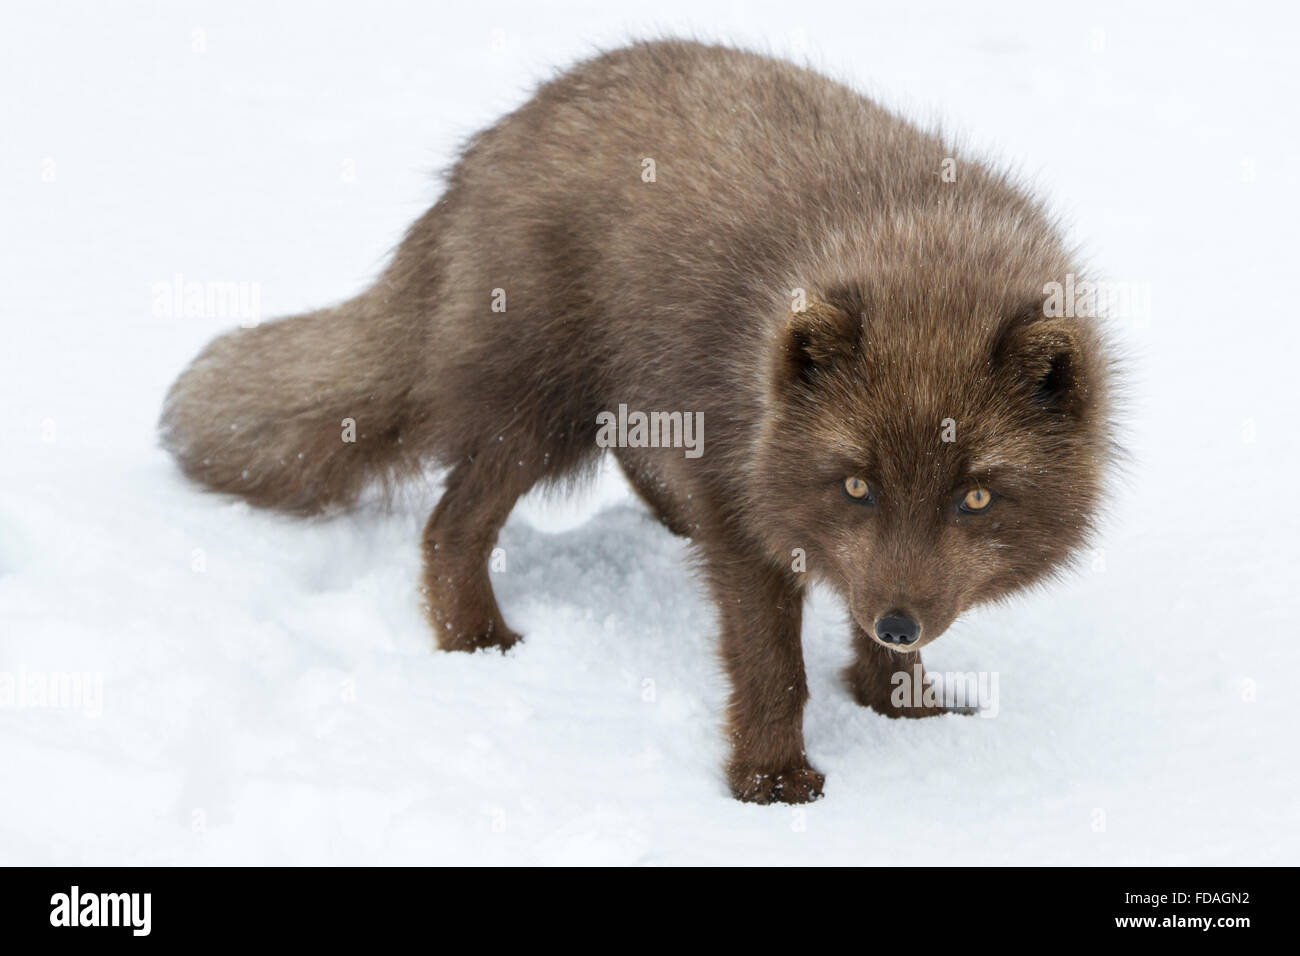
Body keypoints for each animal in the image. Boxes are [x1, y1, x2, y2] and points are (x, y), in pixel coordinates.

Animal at [161, 40, 1116, 804]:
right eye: (856, 485)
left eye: (976, 499)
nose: (900, 624)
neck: (920, 247)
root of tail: (485, 149)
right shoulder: (746, 508)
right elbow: (771, 668)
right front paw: (771, 785)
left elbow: (857, 626)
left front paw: (901, 714)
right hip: (538, 413)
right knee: (448, 526)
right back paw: (480, 644)